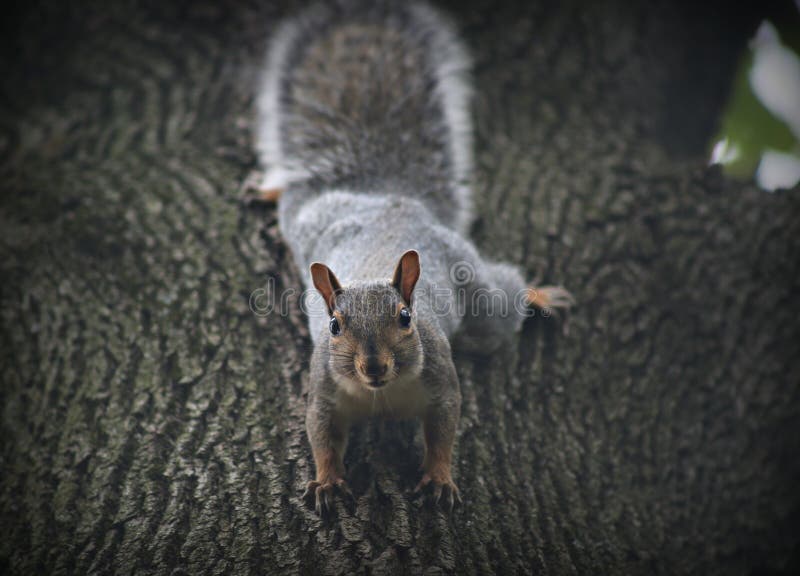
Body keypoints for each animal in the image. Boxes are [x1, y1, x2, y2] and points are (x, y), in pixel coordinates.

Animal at [251, 0, 573, 515]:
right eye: (334, 325)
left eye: (406, 317)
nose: (373, 367)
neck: (381, 395)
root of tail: (393, 200)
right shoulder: (322, 389)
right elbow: (321, 436)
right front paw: (327, 482)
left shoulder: (441, 378)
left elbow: (444, 429)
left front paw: (439, 478)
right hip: (310, 217)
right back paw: (272, 186)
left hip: (480, 301)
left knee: (502, 300)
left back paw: (540, 295)